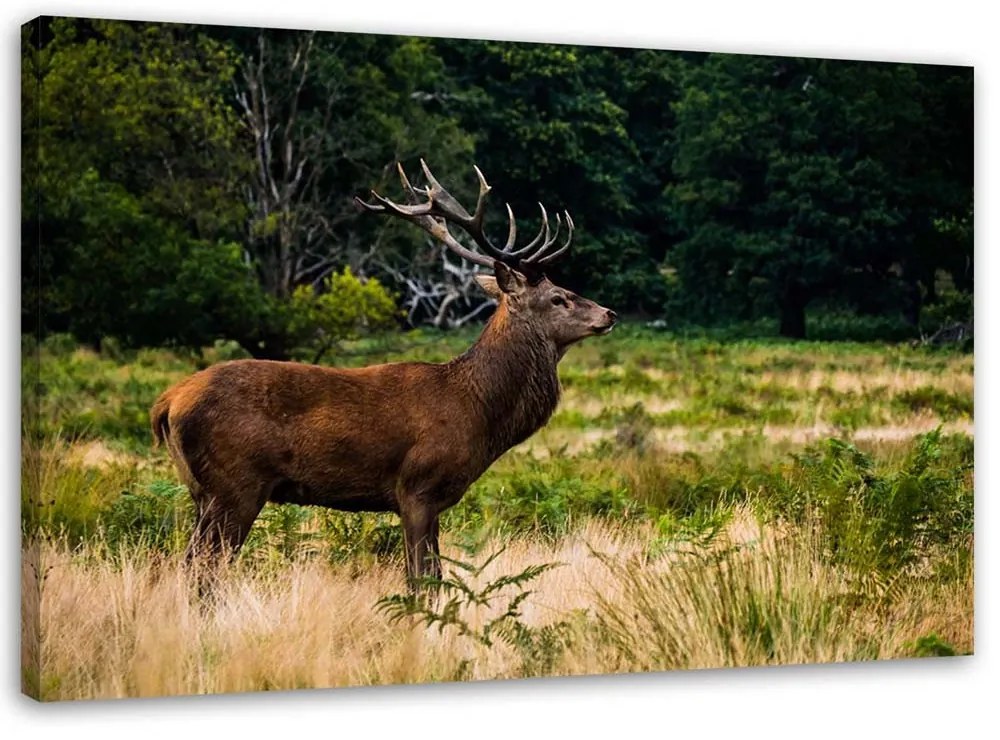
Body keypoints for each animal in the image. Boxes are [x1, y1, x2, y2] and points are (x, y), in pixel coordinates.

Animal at [148, 160, 616, 584]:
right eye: (558, 297)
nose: (608, 313)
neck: (478, 412)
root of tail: (167, 403)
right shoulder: (417, 487)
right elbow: (423, 580)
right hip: (234, 484)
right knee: (203, 571)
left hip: (202, 491)